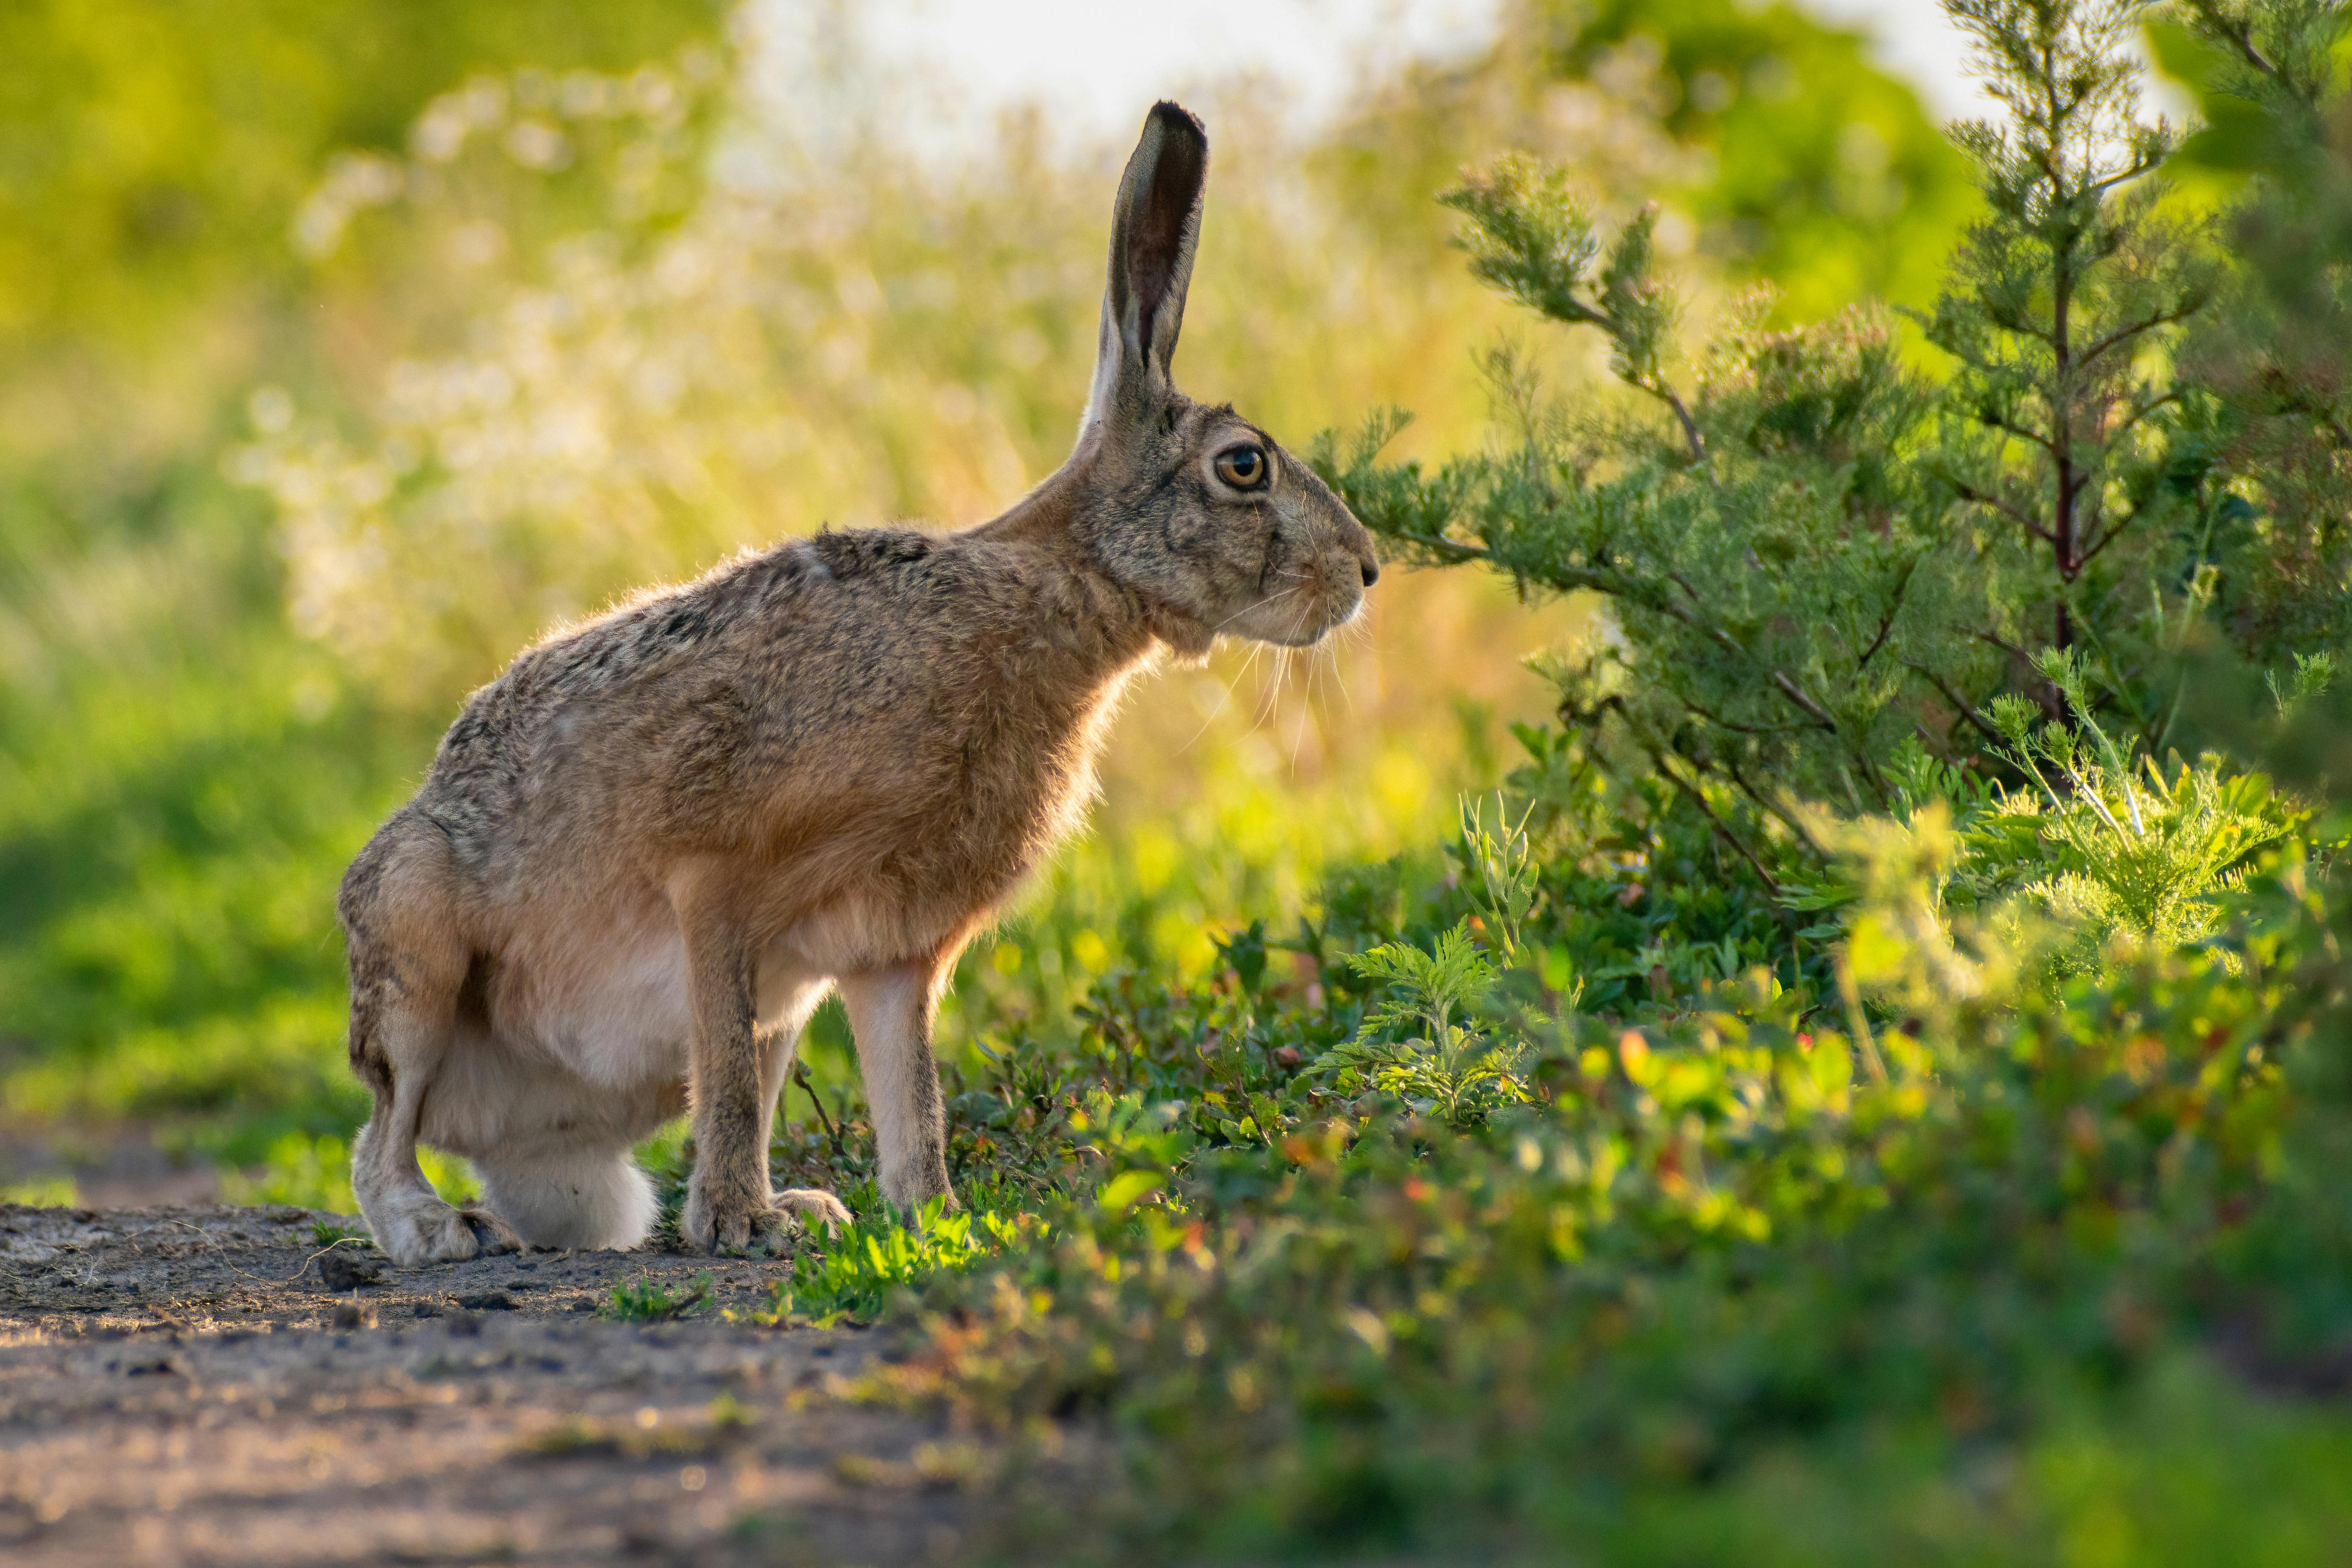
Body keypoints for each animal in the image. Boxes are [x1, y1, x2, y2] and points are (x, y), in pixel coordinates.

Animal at [337, 101, 1381, 1265]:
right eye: (1243, 465)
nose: (1366, 570)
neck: (1054, 595)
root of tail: (529, 1153)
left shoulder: (892, 953)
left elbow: (910, 1102)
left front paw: (941, 1221)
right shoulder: (713, 877)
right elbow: (730, 1078)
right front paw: (736, 1223)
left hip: (772, 1006)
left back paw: (791, 1208)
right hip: (416, 940)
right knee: (383, 1131)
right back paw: (442, 1229)